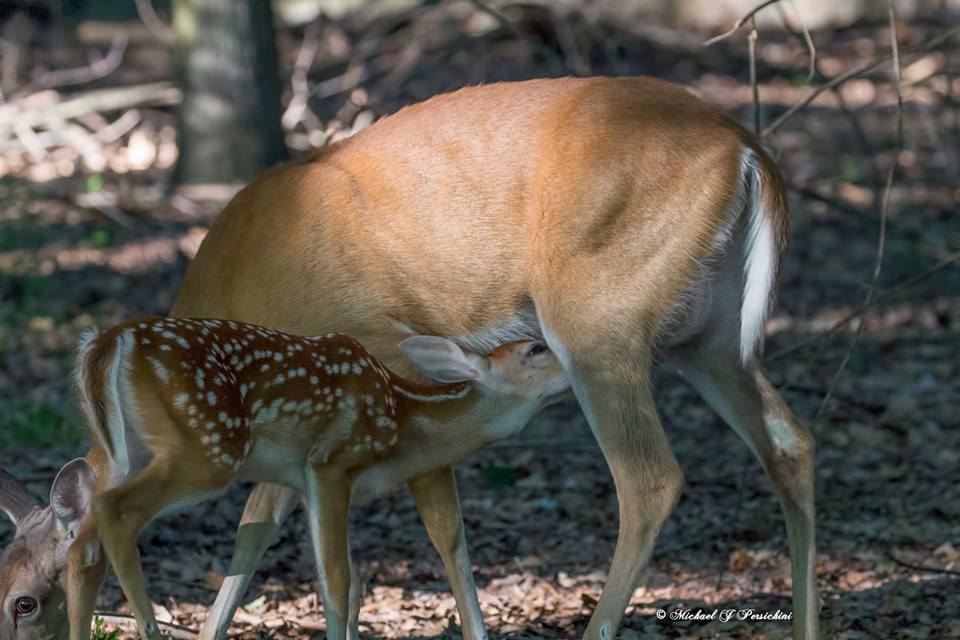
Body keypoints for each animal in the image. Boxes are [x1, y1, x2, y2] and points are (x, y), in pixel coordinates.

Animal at [0, 317, 568, 640]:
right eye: (535, 350)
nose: (578, 365)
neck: (403, 421)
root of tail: (106, 341)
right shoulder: (330, 462)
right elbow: (338, 582)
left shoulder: (301, 481)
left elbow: (348, 582)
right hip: (207, 447)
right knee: (115, 513)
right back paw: (151, 628)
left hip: (127, 450)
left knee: (84, 538)